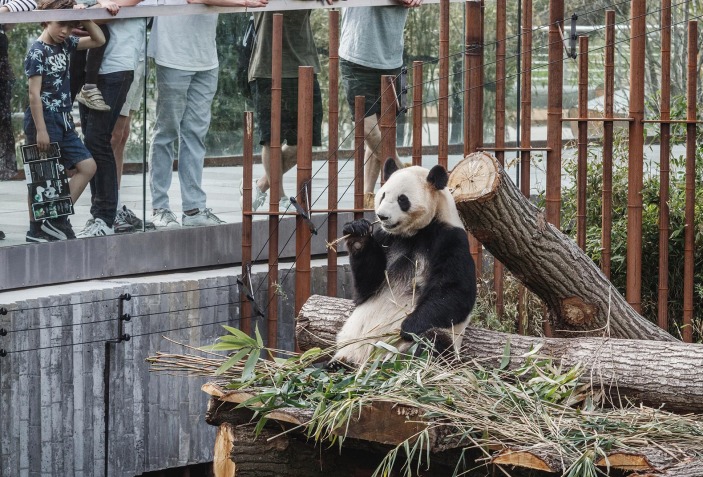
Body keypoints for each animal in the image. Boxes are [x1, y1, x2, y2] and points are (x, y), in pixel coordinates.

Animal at [332, 159, 477, 366]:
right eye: (383, 195)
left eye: (402, 199)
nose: (382, 216)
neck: (413, 233)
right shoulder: (385, 237)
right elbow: (365, 289)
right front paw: (358, 234)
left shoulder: (450, 238)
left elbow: (456, 291)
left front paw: (408, 326)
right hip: (350, 346)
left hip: (423, 342)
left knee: (432, 343)